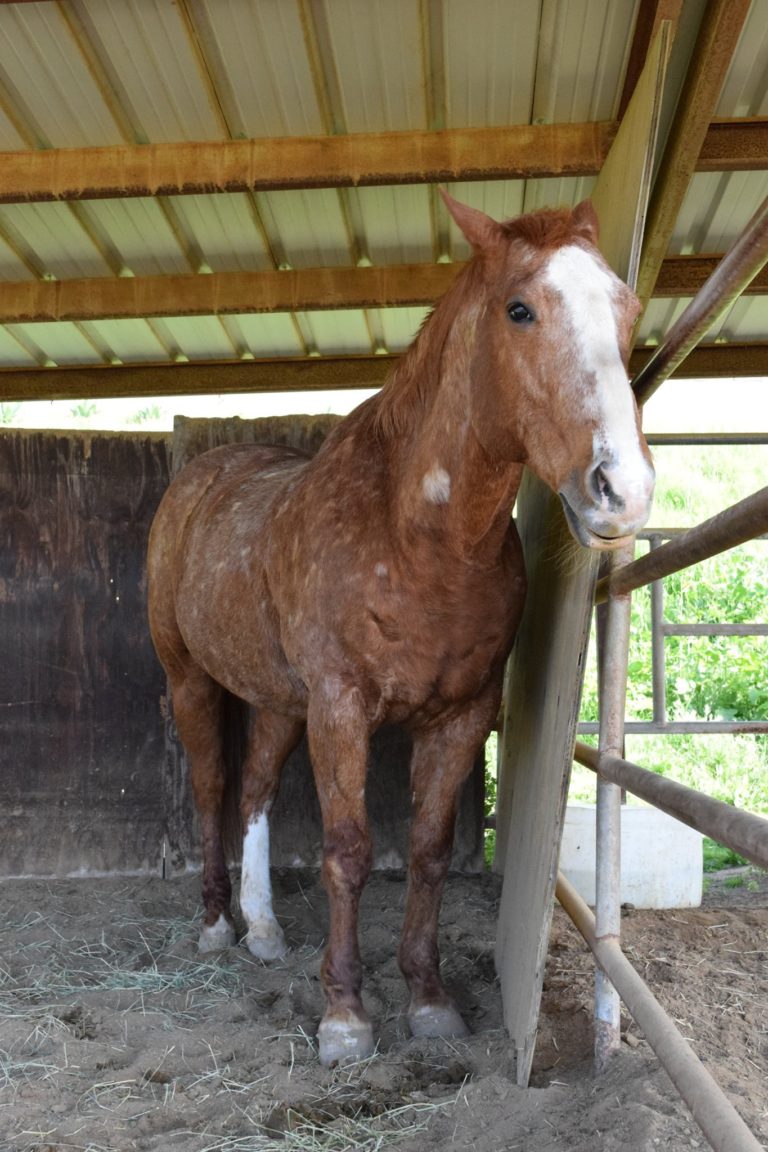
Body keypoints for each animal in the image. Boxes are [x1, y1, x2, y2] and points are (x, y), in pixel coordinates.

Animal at [147, 191, 654, 1066]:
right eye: (519, 309)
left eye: (626, 308)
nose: (621, 488)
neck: (416, 540)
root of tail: (203, 476)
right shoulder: (341, 709)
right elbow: (348, 851)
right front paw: (345, 1014)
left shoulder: (459, 718)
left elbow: (427, 851)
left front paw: (428, 997)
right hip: (192, 680)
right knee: (213, 787)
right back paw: (216, 923)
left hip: (279, 702)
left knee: (254, 789)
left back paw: (265, 929)